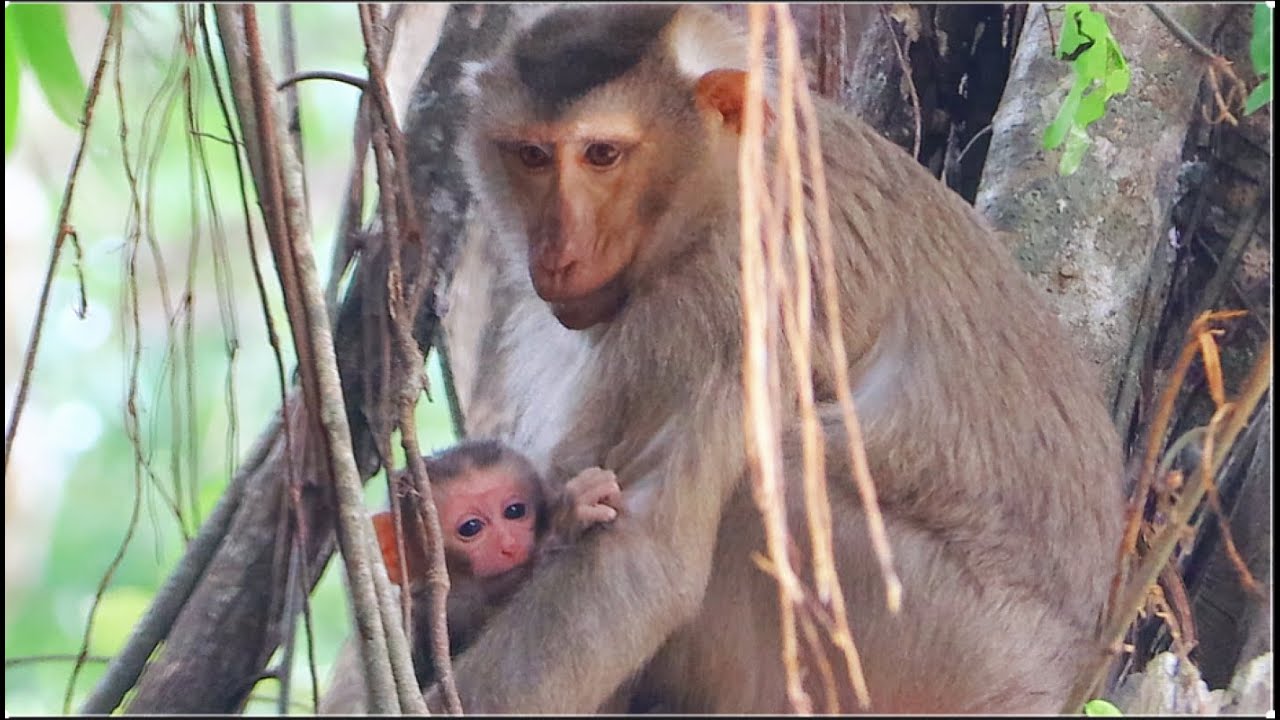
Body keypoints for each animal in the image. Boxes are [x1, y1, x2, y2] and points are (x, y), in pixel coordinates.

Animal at [429, 4, 1127, 714]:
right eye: (532, 156)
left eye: (602, 154)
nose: (557, 253)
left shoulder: (731, 288)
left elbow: (638, 555)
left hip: (944, 650)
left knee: (766, 483)